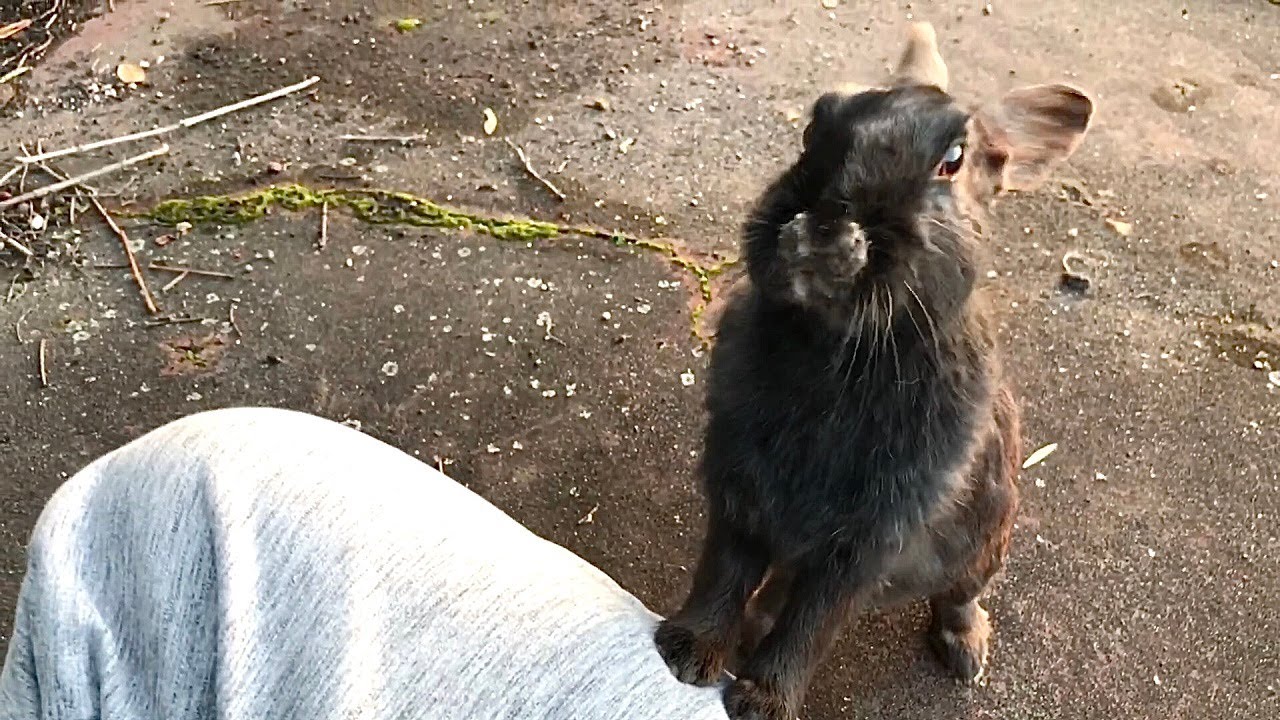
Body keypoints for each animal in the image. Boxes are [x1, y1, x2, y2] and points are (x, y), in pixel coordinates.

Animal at [653, 22, 1094, 720]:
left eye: (953, 158)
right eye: (816, 124)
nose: (827, 224)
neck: (834, 347)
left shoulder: (867, 542)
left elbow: (813, 622)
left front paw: (764, 701)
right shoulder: (740, 495)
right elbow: (723, 573)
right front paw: (686, 654)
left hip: (986, 540)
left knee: (958, 597)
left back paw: (966, 654)